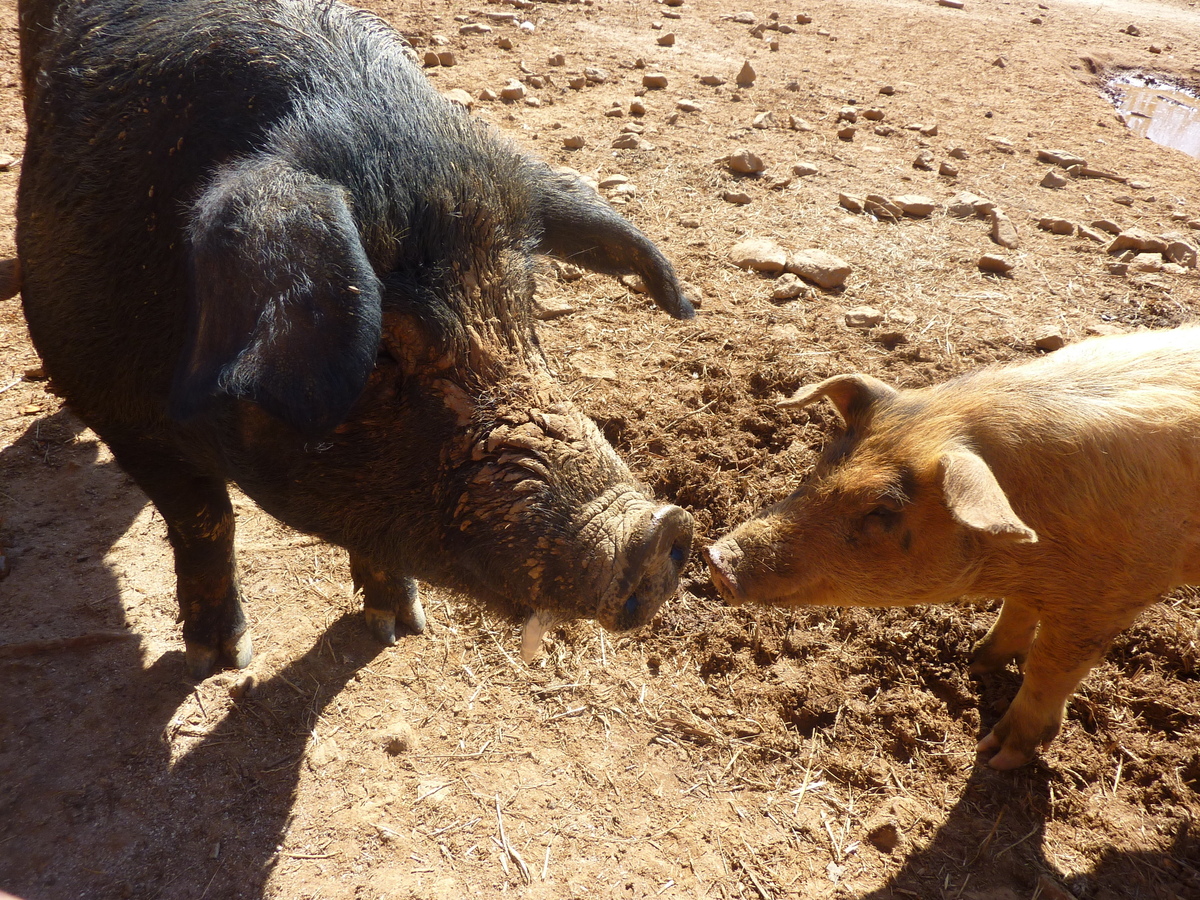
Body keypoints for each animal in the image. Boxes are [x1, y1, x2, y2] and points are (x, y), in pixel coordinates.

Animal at [16, 0, 695, 677]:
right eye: (380, 351)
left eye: (523, 307)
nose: (659, 528)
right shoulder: (108, 399)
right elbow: (205, 521)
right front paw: (222, 659)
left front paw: (399, 625)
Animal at [706, 327, 1200, 769]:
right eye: (823, 462)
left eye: (882, 509)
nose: (717, 558)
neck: (1029, 550)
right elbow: (1016, 609)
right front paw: (975, 664)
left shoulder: (1111, 598)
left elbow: (1048, 668)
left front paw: (995, 756)